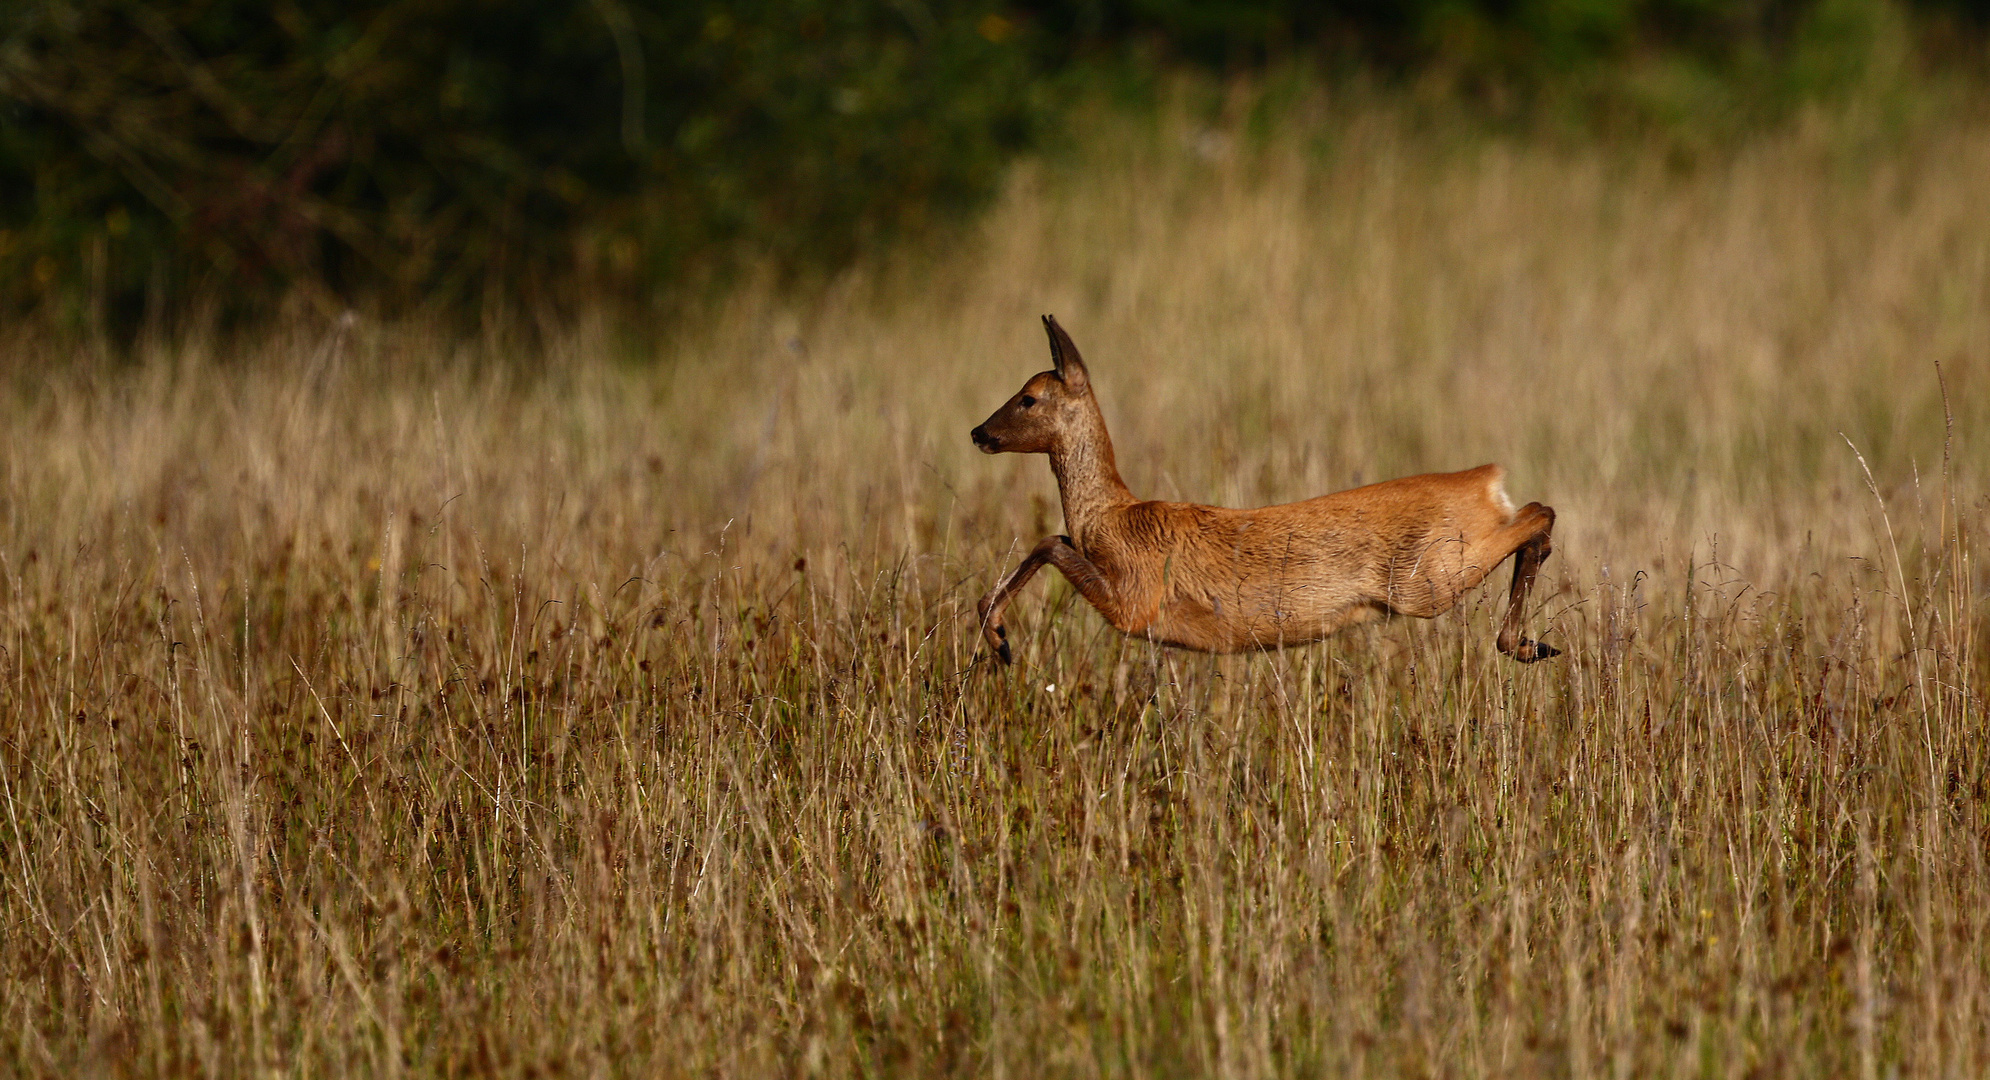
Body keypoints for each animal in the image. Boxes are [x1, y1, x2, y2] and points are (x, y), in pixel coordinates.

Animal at [970, 315, 1560, 665]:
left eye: (1028, 397)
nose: (979, 432)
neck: (1112, 515)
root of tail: (1487, 478)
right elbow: (1052, 540)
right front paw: (997, 636)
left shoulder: (1134, 605)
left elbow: (1049, 542)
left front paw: (1000, 640)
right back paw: (1532, 643)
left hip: (1428, 580)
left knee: (1538, 510)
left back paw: (1525, 643)